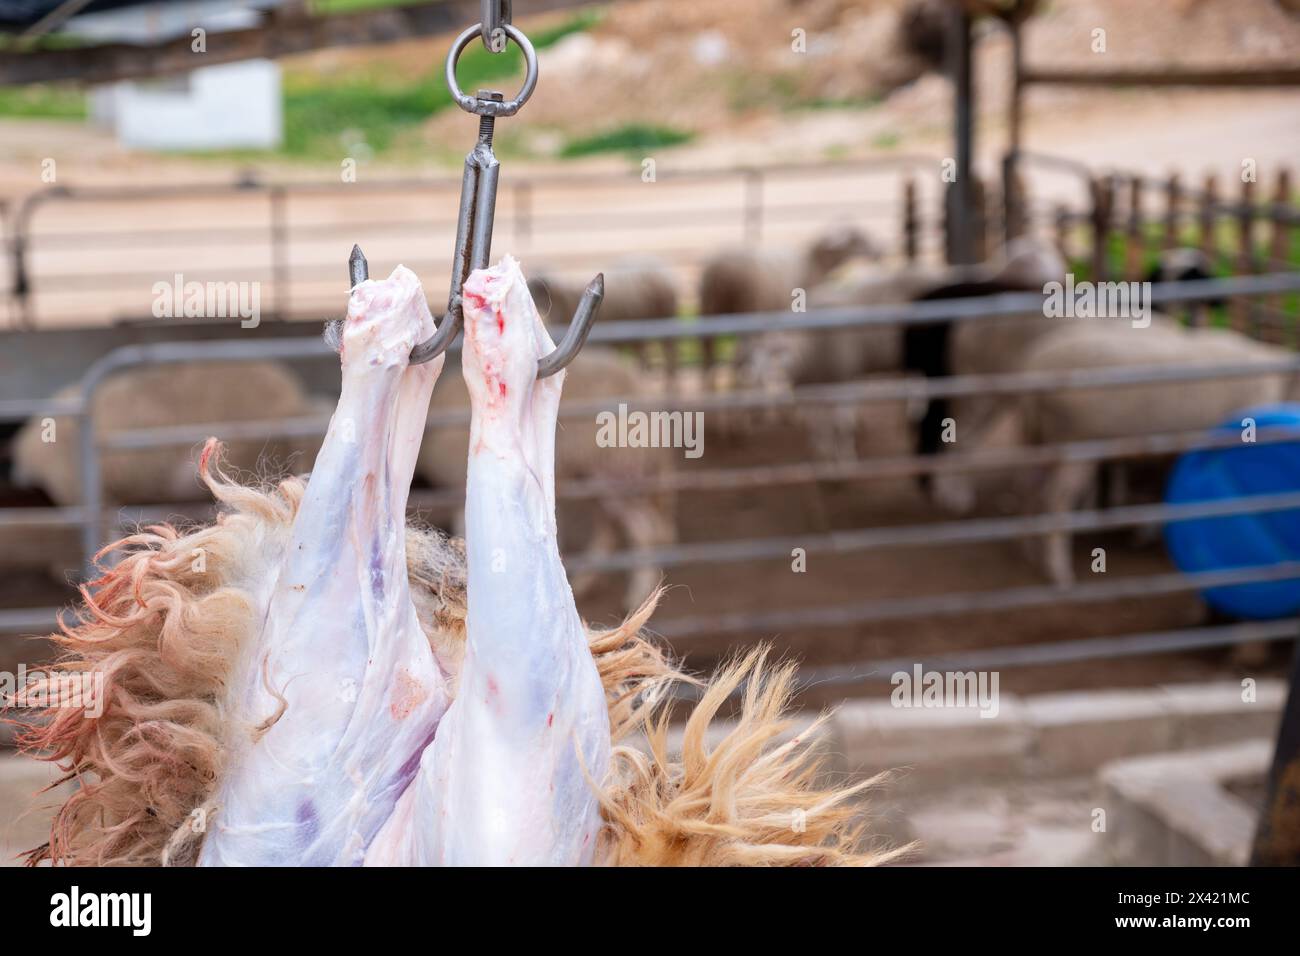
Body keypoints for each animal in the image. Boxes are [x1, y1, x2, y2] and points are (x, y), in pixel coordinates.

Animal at [415, 346, 676, 611]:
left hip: (615, 472)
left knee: (644, 530)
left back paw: (638, 592)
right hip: (598, 478)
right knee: (613, 529)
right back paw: (589, 578)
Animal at [930, 316, 1300, 587]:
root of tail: (1034, 369)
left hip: (1042, 437)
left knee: (1028, 485)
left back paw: (1028, 550)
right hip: (1069, 437)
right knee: (1049, 496)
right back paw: (1059, 573)